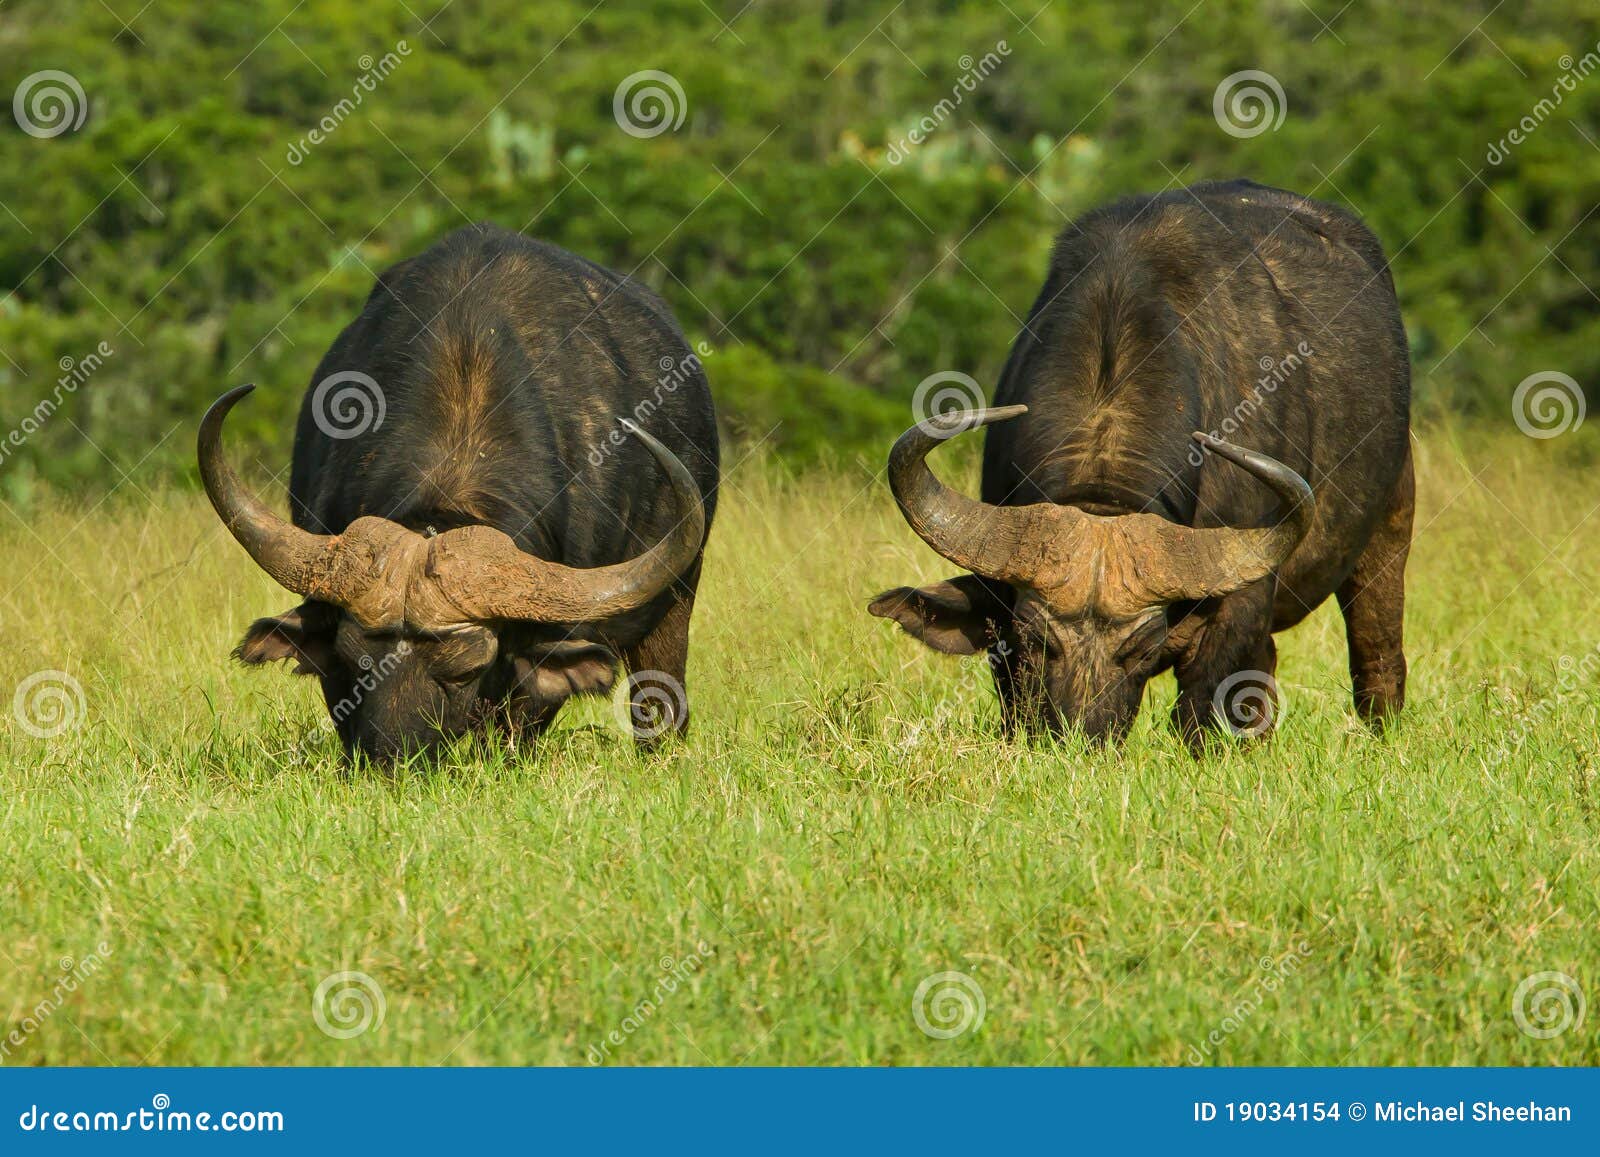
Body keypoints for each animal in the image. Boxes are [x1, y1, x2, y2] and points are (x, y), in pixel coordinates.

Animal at [871, 180, 1412, 748]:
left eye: (1143, 648)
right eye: (1034, 638)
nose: (1081, 737)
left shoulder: (1237, 606)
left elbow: (1203, 710)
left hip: (1391, 523)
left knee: (1376, 653)